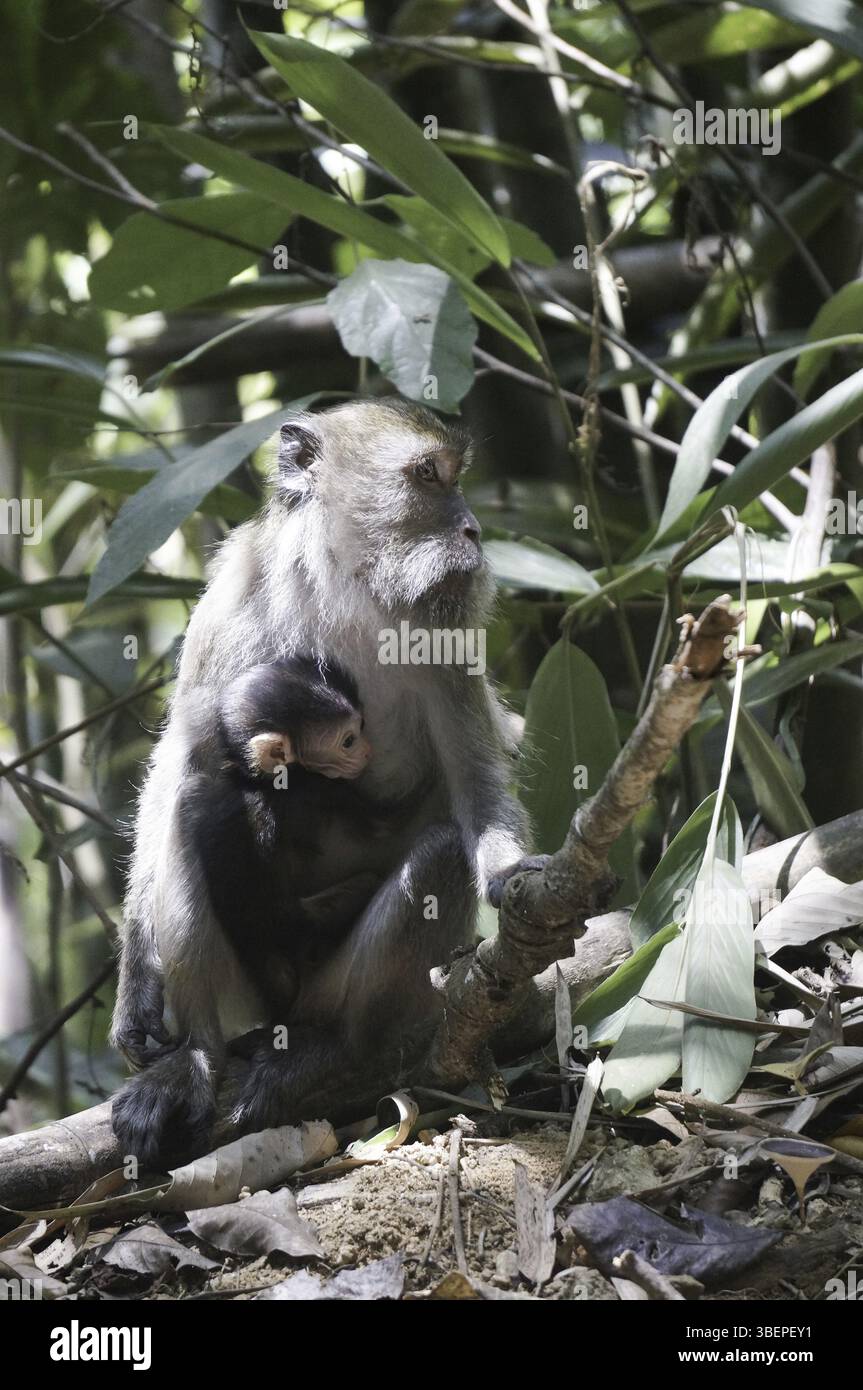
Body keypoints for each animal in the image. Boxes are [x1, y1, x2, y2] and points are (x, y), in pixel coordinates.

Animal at [111, 398, 536, 1168]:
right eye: (428, 476)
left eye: (454, 475)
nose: (472, 530)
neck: (345, 587)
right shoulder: (234, 595)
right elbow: (178, 763)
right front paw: (137, 988)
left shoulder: (446, 631)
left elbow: (476, 778)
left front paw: (511, 873)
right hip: (252, 987)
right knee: (195, 800)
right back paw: (197, 1060)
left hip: (350, 991)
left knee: (434, 859)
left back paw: (339, 1051)